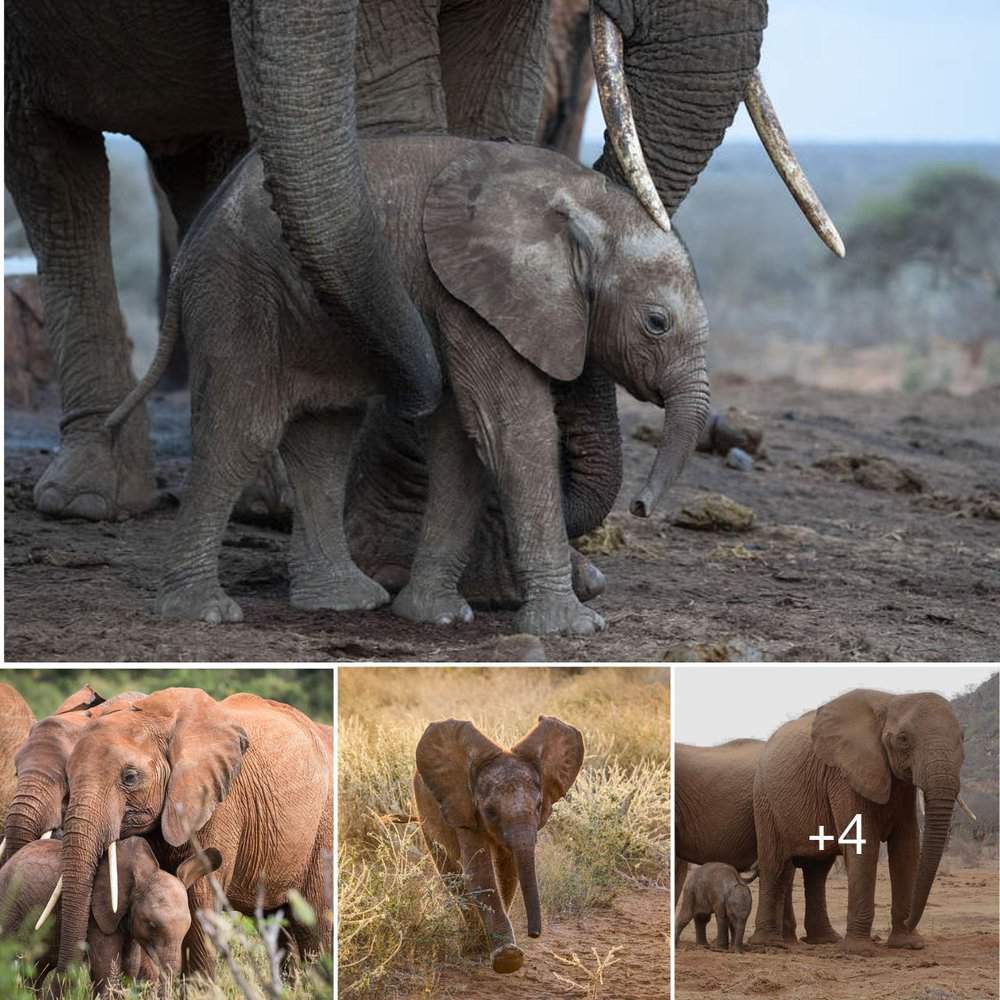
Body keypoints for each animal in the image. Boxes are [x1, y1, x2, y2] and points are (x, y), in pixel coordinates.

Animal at [0, 836, 221, 995]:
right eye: (151, 924)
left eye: (187, 927)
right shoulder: (97, 916)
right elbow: (106, 968)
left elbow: (130, 966)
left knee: (36, 969)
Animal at [43, 688, 331, 982]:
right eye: (68, 776)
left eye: (130, 777)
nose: (64, 981)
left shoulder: (218, 805)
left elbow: (201, 897)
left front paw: (200, 987)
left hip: (323, 825)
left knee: (314, 922)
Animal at [106, 134, 712, 635]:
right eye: (656, 323)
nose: (641, 507)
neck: (585, 202)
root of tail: (191, 244)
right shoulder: (471, 295)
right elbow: (510, 431)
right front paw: (573, 628)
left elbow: (463, 441)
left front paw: (436, 616)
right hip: (238, 293)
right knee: (243, 431)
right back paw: (203, 612)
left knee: (324, 439)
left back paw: (345, 600)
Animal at [413, 716, 584, 975]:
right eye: (490, 812)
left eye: (538, 806)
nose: (534, 934)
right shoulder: (465, 810)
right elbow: (480, 873)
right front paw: (508, 958)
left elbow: (508, 872)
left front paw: (500, 950)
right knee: (450, 873)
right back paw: (472, 944)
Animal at [751, 689, 968, 954]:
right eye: (903, 739)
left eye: (962, 738)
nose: (909, 920)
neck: (891, 700)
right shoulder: (844, 775)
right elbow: (864, 845)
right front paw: (860, 950)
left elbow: (906, 847)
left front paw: (908, 944)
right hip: (764, 800)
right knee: (773, 863)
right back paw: (767, 944)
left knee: (817, 869)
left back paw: (824, 940)